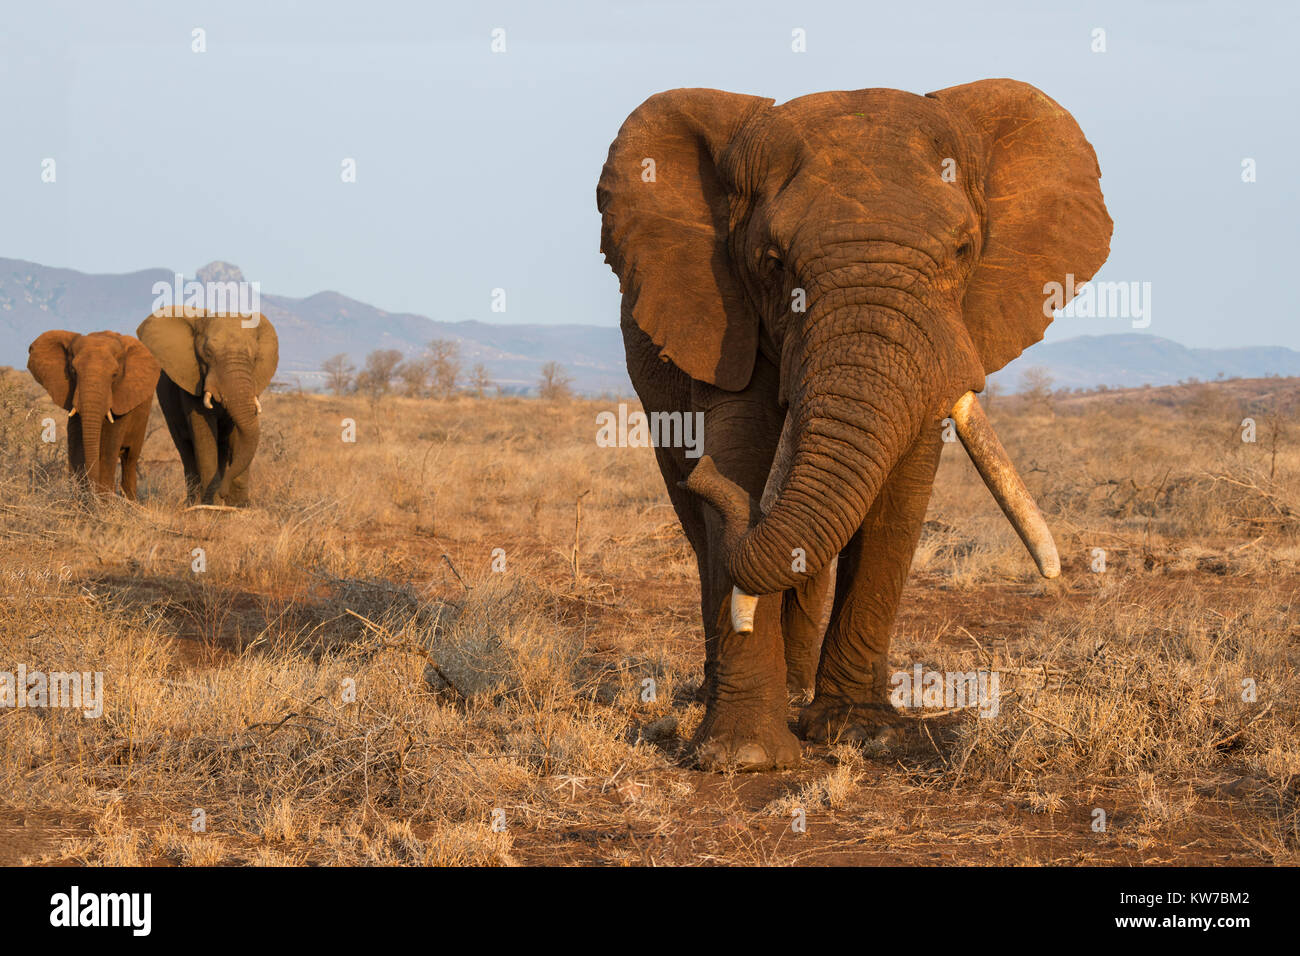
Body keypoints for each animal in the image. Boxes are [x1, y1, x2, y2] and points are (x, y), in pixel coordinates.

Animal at [27, 330, 160, 499]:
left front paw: (102, 502)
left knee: (129, 459)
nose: (91, 492)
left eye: (115, 374)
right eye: (73, 371)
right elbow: (76, 445)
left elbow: (108, 448)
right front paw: (79, 499)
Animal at [136, 308, 278, 506]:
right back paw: (193, 503)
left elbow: (240, 433)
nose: (223, 493)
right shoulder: (192, 378)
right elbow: (203, 433)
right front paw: (212, 506)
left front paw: (240, 507)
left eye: (254, 357)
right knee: (185, 449)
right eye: (208, 353)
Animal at [597, 79, 1111, 770]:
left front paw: (863, 736)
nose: (1056, 577)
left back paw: (797, 690)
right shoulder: (724, 312)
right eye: (772, 262)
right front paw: (745, 758)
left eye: (963, 250)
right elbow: (740, 454)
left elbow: (901, 490)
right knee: (704, 529)